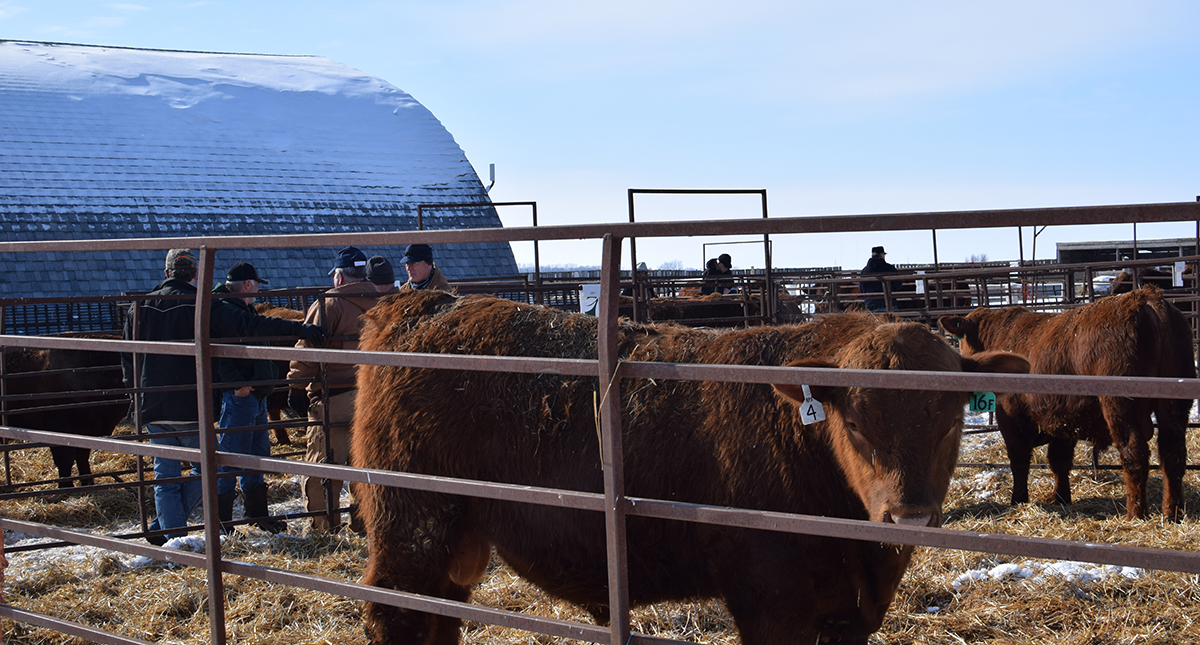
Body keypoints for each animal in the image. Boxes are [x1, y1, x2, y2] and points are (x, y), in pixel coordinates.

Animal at [2, 342, 128, 488]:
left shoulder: (88, 429)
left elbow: (82, 456)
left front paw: (88, 482)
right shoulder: (59, 428)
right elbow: (64, 459)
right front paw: (66, 486)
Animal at [350, 290, 1029, 645]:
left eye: (950, 419)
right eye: (856, 424)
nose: (908, 515)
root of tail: (426, 303)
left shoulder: (849, 612)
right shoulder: (770, 598)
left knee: (439, 613)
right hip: (413, 520)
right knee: (398, 609)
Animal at [939, 286, 1196, 520]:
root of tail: (1146, 297)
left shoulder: (1011, 418)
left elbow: (1019, 460)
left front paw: (1018, 500)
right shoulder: (1064, 420)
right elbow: (1059, 460)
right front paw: (1062, 498)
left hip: (1122, 406)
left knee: (1135, 453)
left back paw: (1135, 514)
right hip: (1174, 405)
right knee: (1173, 454)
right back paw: (1173, 513)